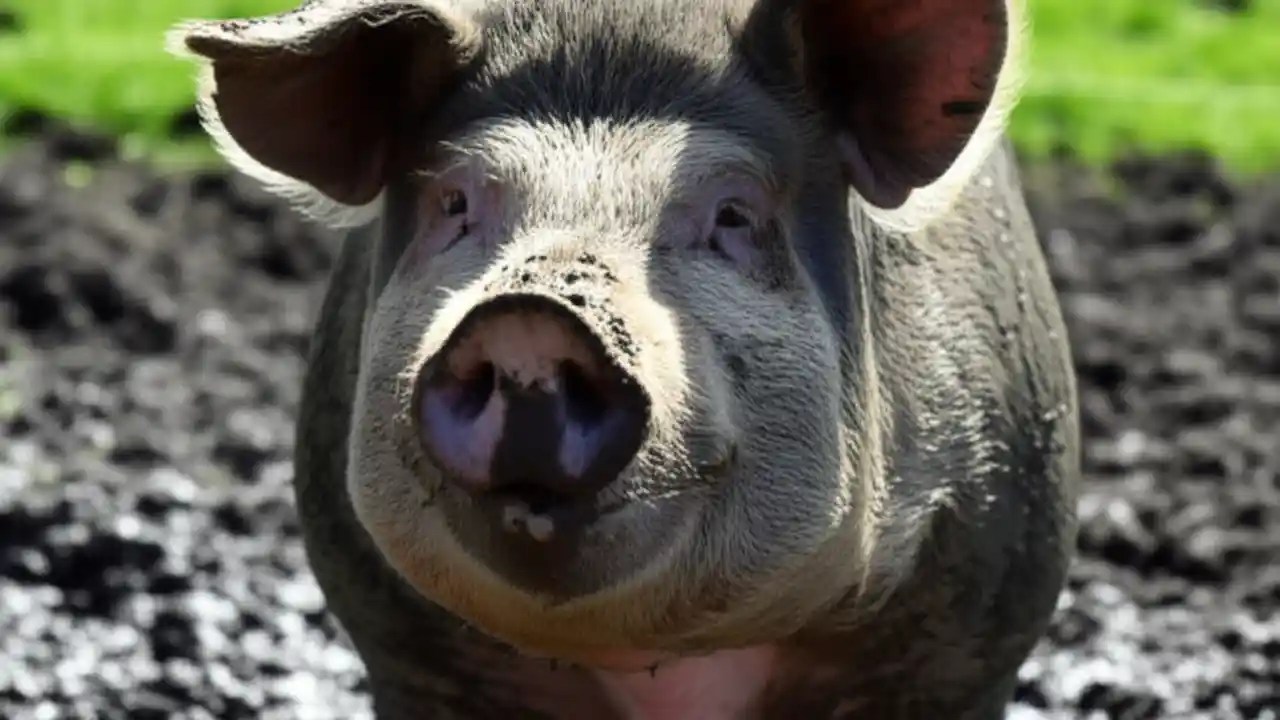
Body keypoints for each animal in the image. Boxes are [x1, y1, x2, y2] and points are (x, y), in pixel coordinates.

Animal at [169, 0, 1079, 717]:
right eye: (454, 203)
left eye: (734, 216)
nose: (528, 320)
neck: (656, 667)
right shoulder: (406, 646)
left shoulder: (970, 629)